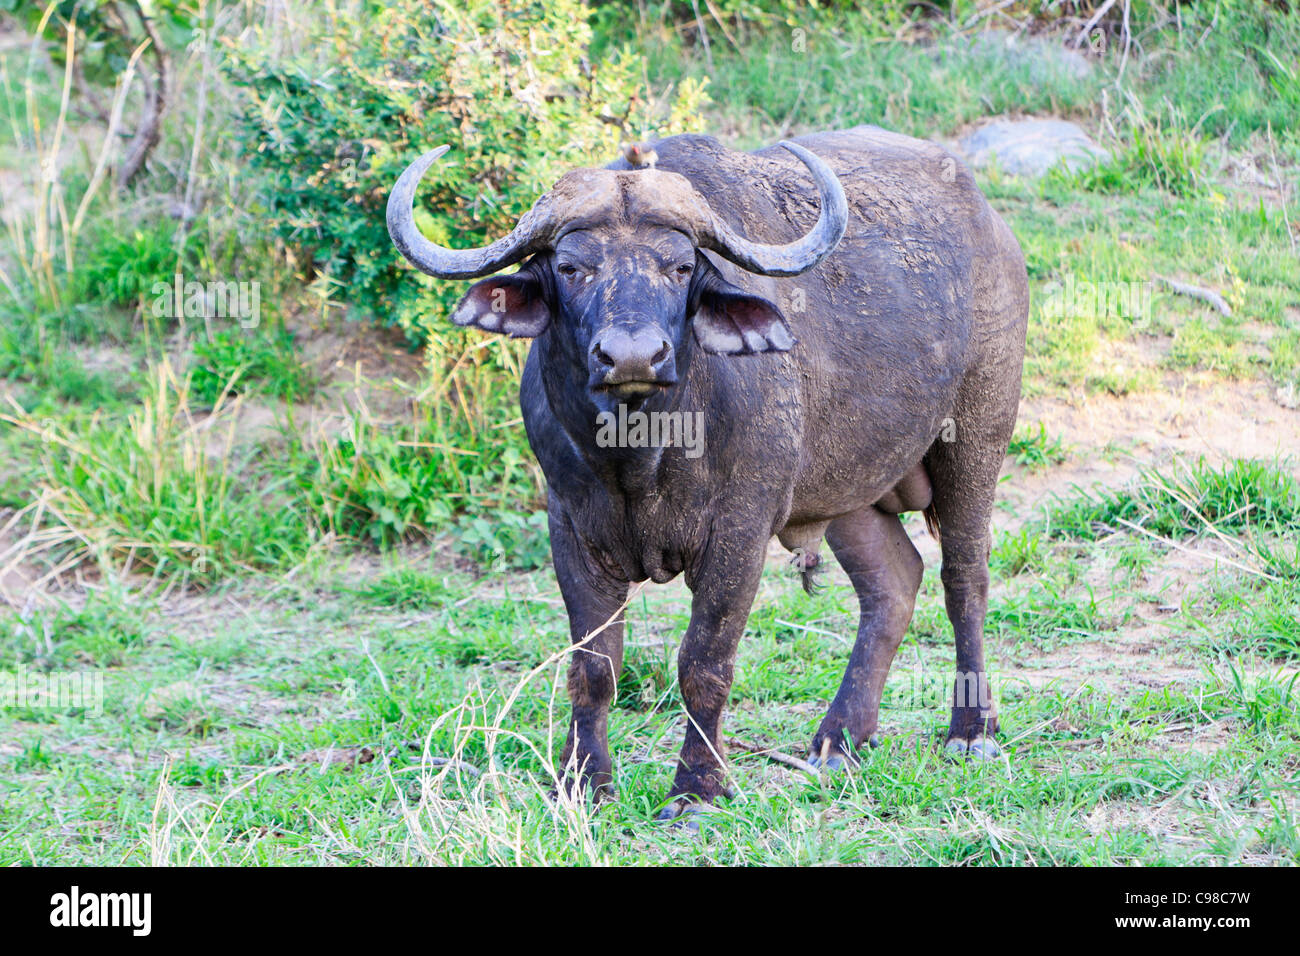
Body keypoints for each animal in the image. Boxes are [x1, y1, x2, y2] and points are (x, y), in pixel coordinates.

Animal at [387, 126, 1029, 823]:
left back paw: (971, 731)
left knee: (964, 577)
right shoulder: (571, 529)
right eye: (571, 267)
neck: (639, 453)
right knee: (893, 582)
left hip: (977, 437)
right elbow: (592, 666)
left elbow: (704, 660)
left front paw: (698, 788)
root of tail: (993, 228)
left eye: (680, 266)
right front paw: (583, 781)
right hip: (846, 491)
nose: (633, 356)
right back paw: (840, 738)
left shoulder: (738, 533)